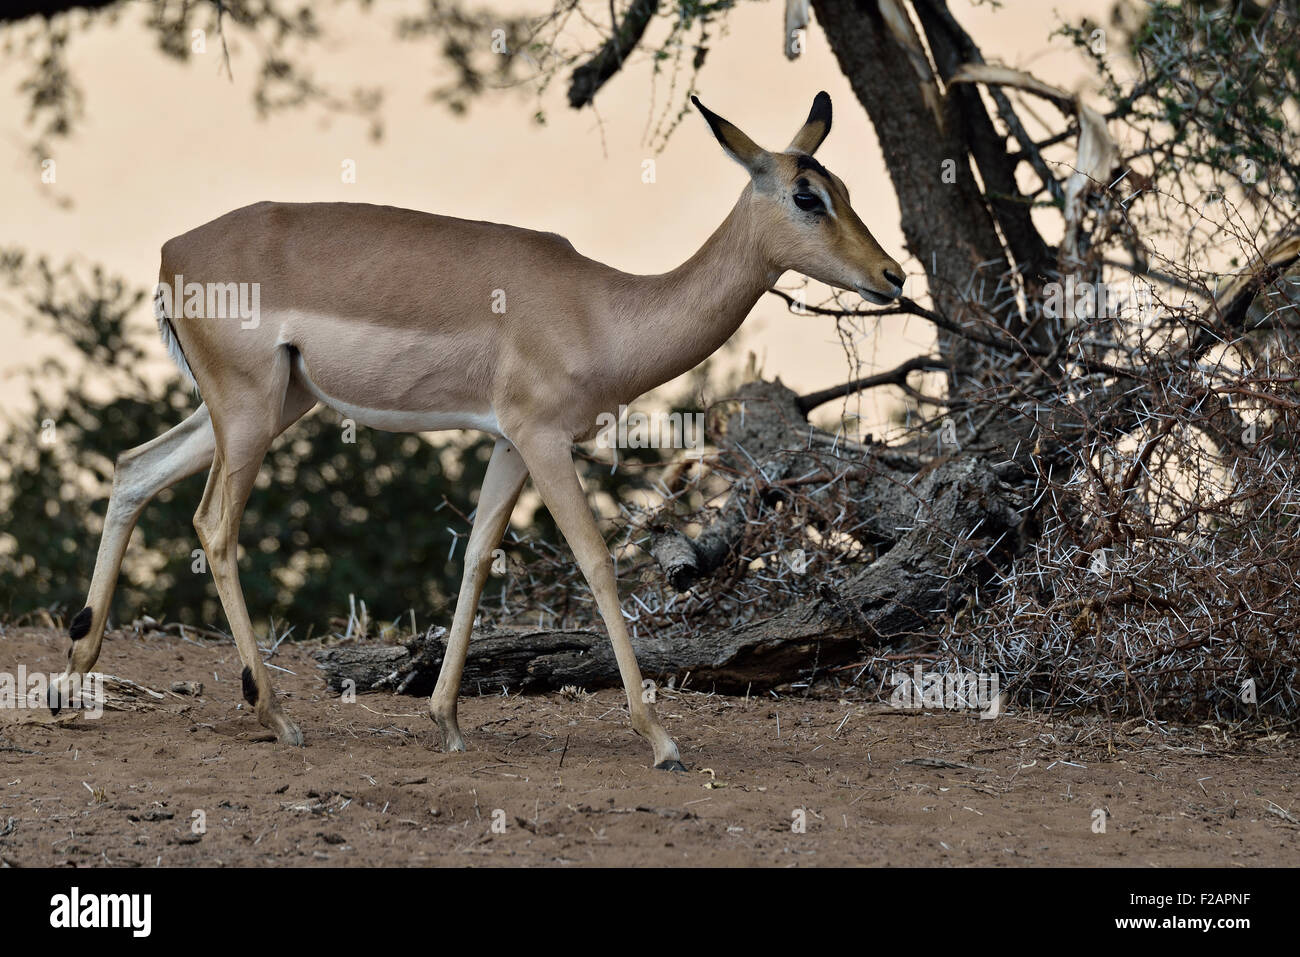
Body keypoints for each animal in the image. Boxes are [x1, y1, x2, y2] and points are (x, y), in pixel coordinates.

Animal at [52, 92, 903, 770]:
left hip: (269, 405)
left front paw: (447, 720)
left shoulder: (507, 442)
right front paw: (661, 740)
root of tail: (173, 251)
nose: (892, 276)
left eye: (843, 186)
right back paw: (276, 714)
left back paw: (74, 675)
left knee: (133, 468)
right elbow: (597, 562)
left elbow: (477, 556)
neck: (601, 309)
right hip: (251, 412)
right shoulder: (545, 439)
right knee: (212, 525)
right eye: (806, 194)